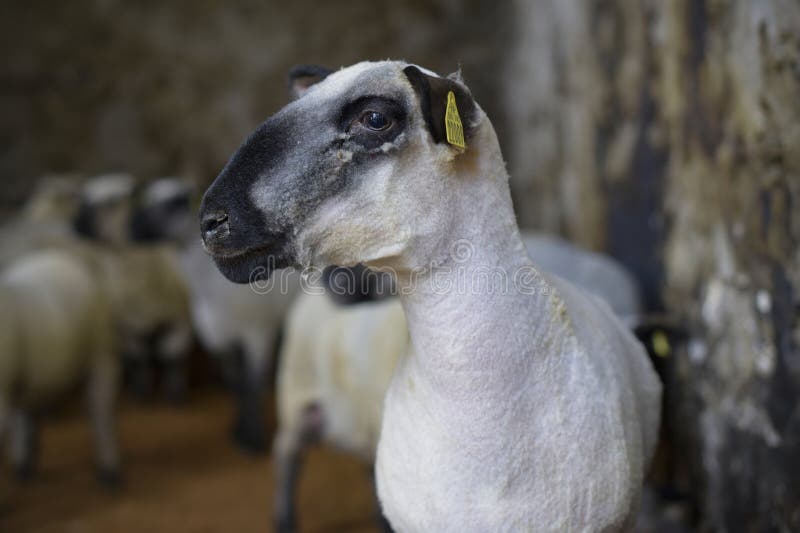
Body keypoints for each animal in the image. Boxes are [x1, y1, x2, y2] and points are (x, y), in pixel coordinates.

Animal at [0, 249, 120, 484]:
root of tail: (60, 256)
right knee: (28, 410)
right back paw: (25, 463)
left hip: (101, 351)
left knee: (100, 412)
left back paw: (110, 471)